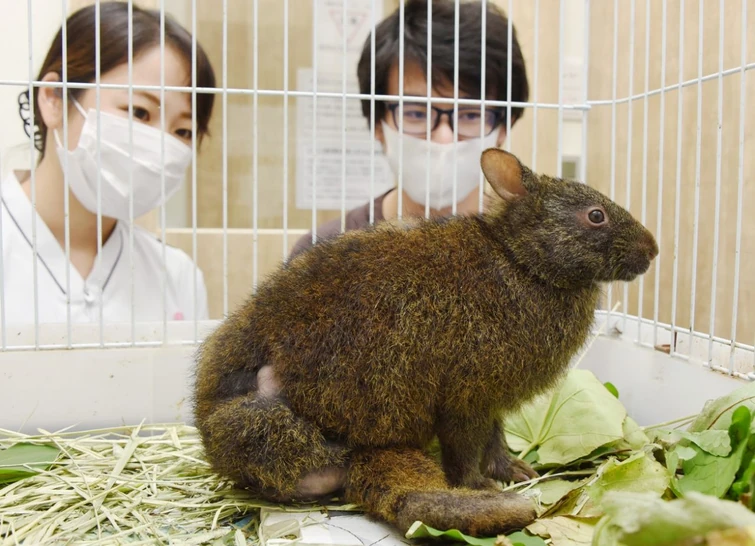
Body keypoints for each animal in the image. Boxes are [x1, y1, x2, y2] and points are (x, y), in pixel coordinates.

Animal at [192, 148, 658, 537]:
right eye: (595, 216)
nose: (652, 250)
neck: (522, 262)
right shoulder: (466, 399)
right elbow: (466, 449)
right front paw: (480, 485)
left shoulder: (490, 398)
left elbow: (495, 439)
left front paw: (515, 470)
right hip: (263, 423)